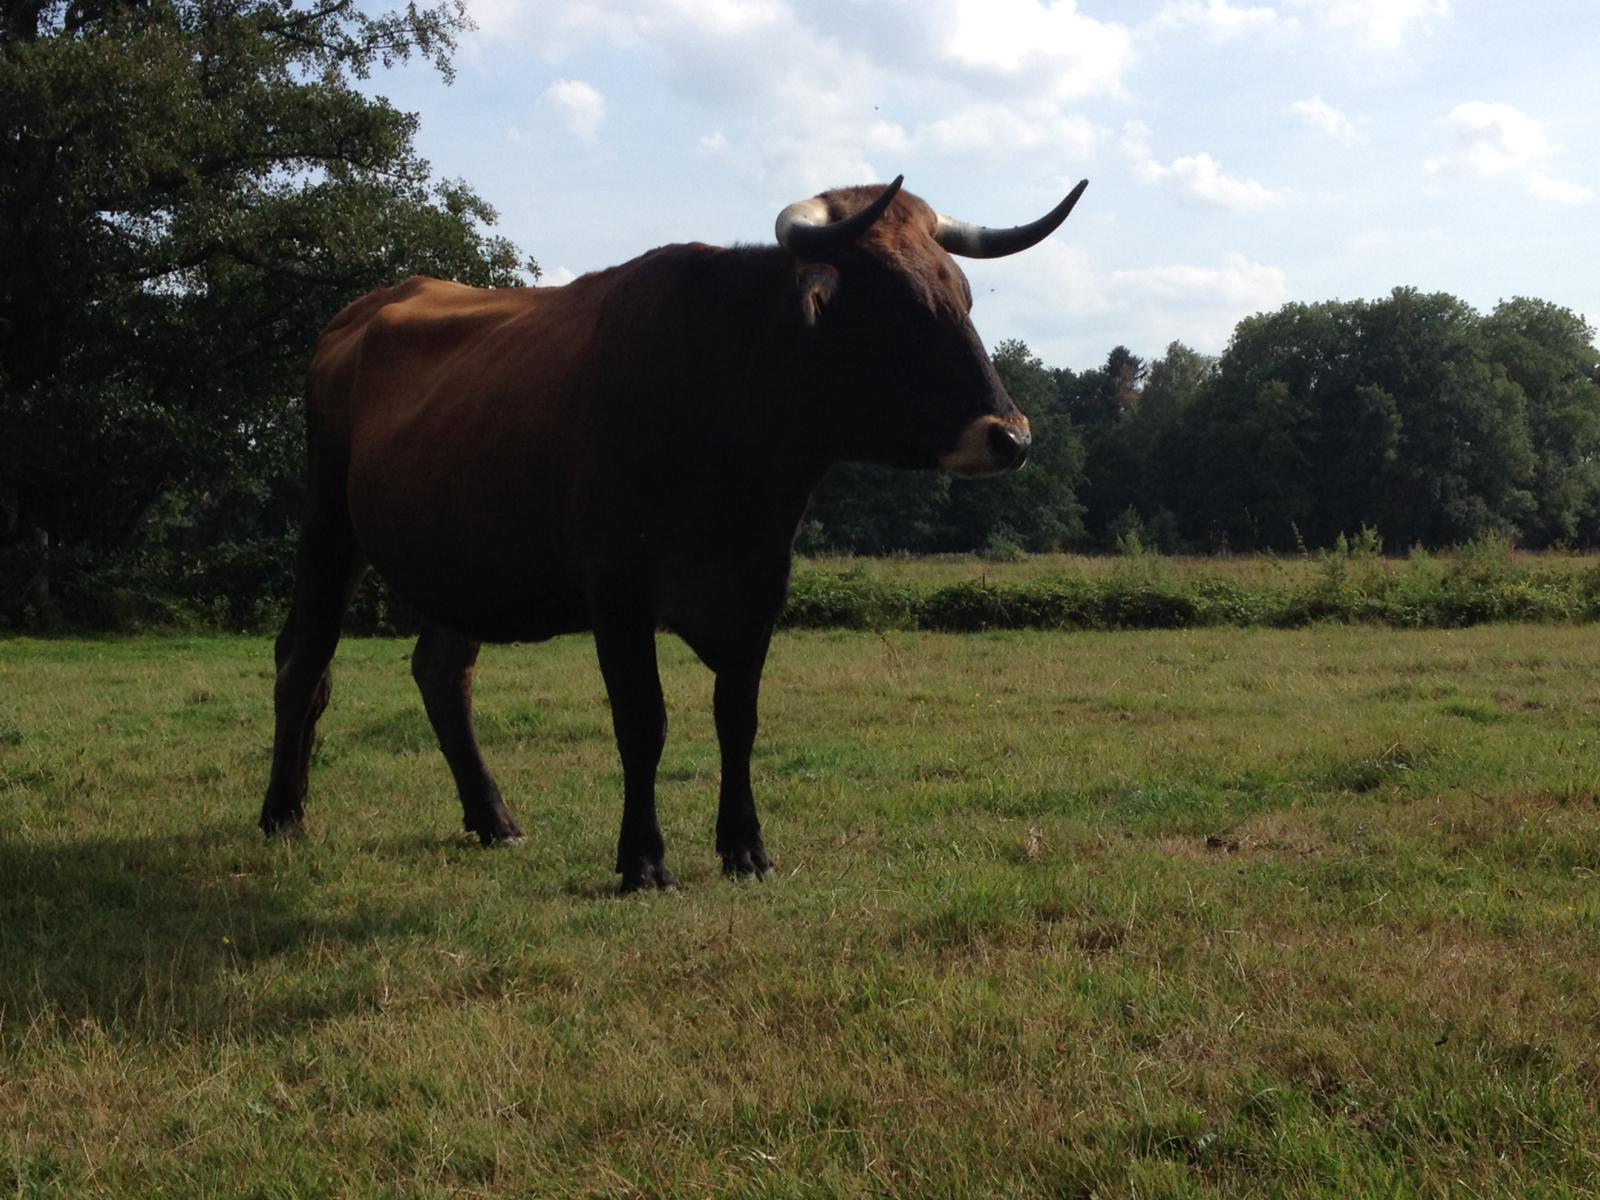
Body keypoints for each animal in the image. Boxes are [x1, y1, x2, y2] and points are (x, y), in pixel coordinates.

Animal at [260, 175, 1088, 891]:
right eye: (897, 307)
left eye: (963, 296)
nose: (1010, 435)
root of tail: (364, 310)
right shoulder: (618, 590)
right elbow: (643, 722)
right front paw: (643, 861)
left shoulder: (759, 589)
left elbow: (737, 720)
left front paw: (746, 848)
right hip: (328, 522)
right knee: (305, 662)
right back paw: (282, 814)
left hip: (465, 560)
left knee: (441, 672)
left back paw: (494, 819)